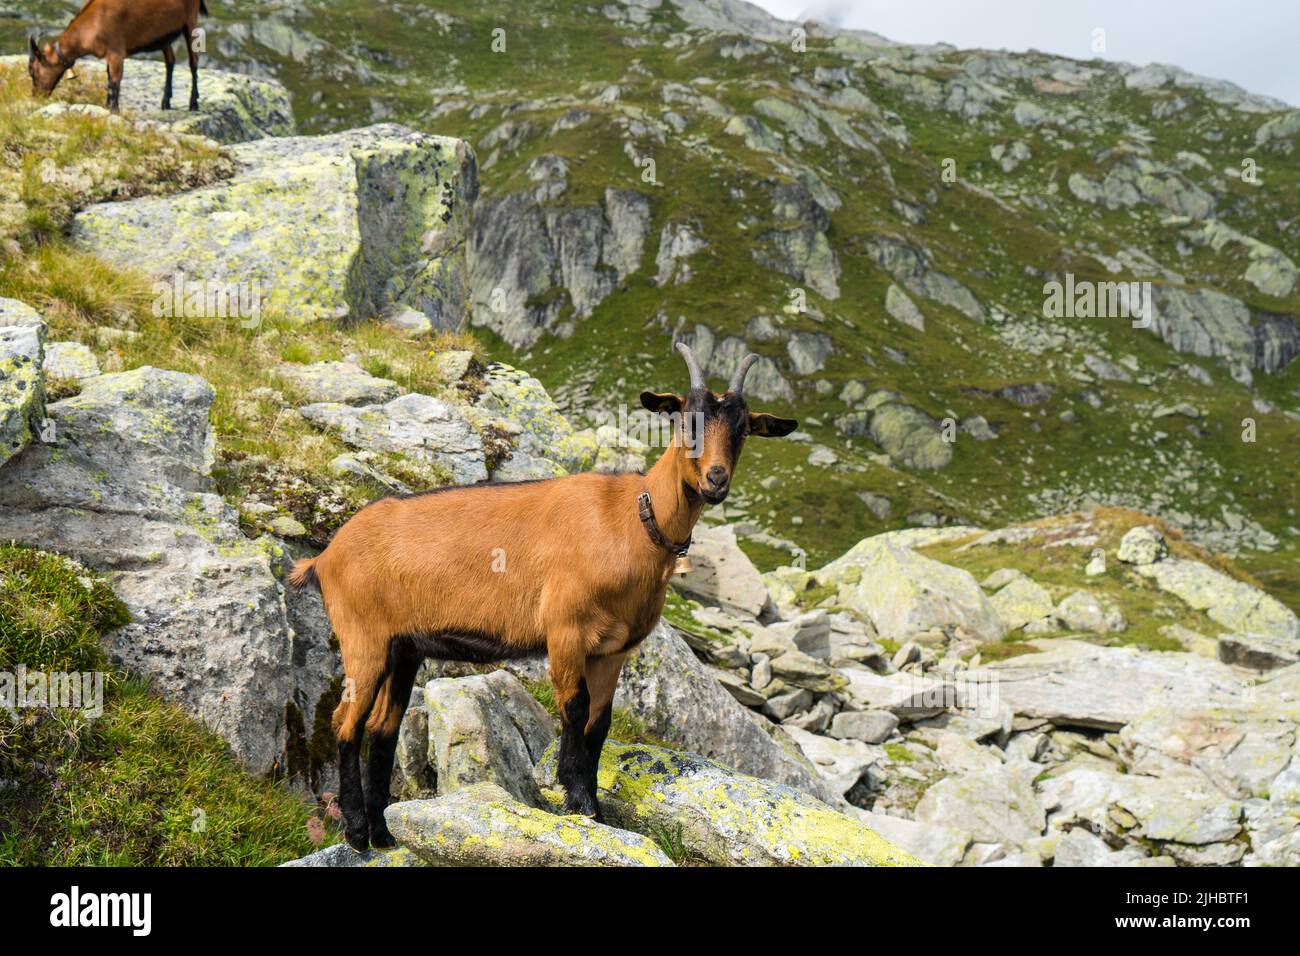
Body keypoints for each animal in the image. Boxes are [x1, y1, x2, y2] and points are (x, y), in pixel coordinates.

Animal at [28, 0, 208, 113]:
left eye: (33, 71)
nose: (36, 96)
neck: (94, 22)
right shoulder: (109, 56)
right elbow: (109, 80)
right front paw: (108, 106)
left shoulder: (116, 51)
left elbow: (114, 83)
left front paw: (114, 110)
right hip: (164, 35)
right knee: (170, 61)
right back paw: (166, 102)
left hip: (190, 20)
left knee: (193, 62)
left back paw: (193, 103)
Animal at [287, 344, 797, 851]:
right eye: (686, 420)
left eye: (742, 430)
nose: (716, 479)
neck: (630, 520)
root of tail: (325, 556)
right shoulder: (565, 632)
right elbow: (574, 710)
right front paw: (577, 802)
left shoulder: (615, 649)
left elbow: (599, 723)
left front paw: (595, 807)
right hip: (364, 639)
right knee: (346, 723)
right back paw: (357, 832)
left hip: (403, 649)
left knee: (382, 729)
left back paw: (384, 833)